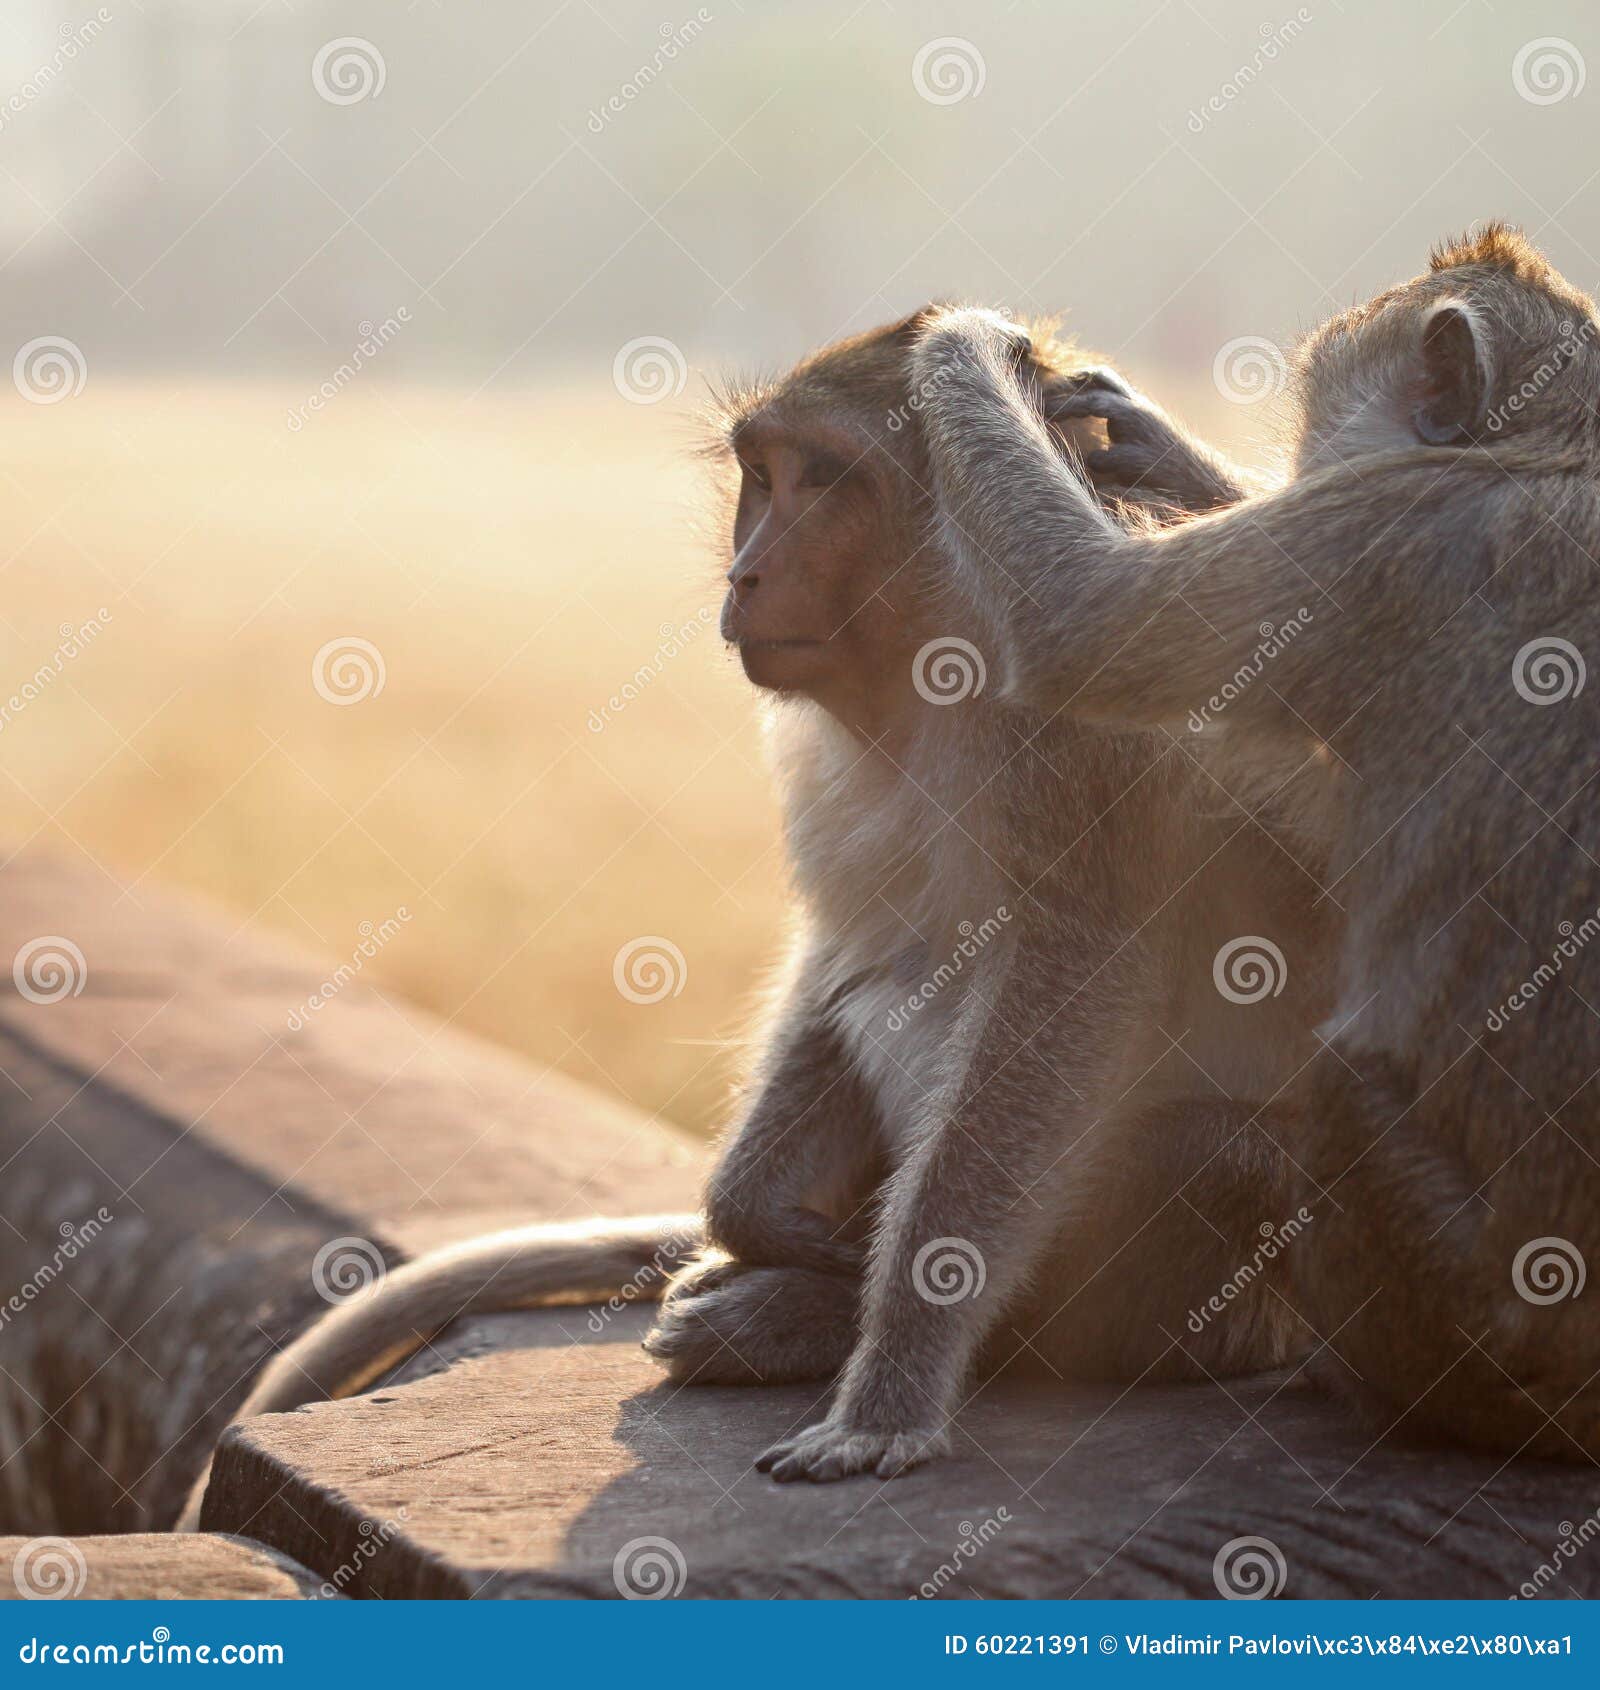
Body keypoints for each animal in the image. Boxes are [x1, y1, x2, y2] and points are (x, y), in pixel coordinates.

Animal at [179, 311, 1331, 1525]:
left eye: (824, 479)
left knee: (1211, 1155)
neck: (939, 656)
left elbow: (1070, 972)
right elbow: (846, 952)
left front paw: (887, 1390)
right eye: (762, 475)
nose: (745, 572)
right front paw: (755, 1215)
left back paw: (838, 1324)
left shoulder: (1068, 718)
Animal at [907, 224, 1600, 1466]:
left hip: (1466, 1331)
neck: (1561, 448)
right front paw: (1146, 436)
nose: (1311, 457)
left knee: (1331, 1088)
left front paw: (962, 341)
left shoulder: (1371, 546)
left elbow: (1091, 627)